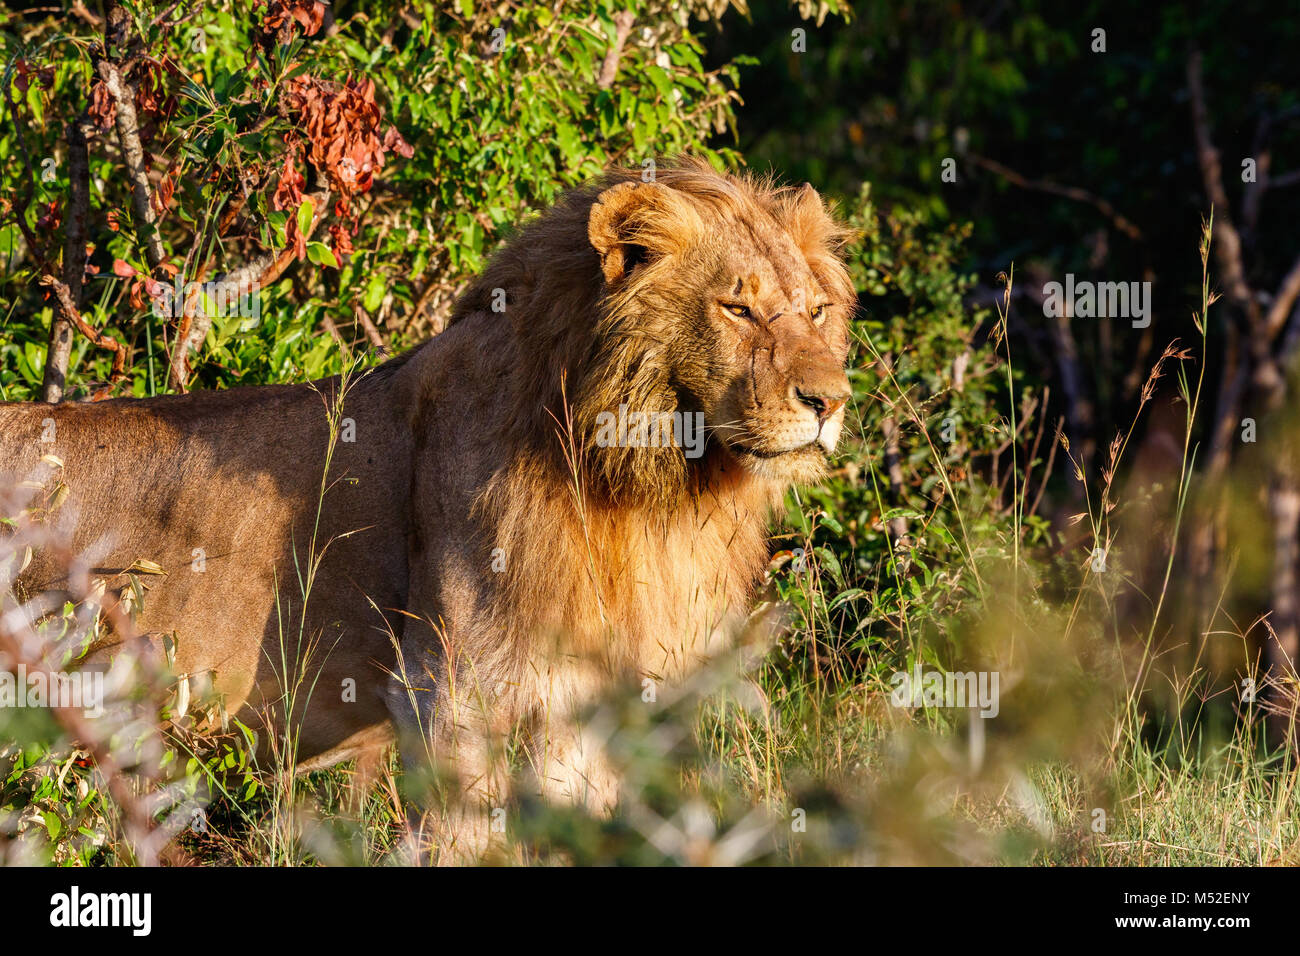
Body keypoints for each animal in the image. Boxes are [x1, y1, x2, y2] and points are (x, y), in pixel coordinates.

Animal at [0, 157, 854, 858]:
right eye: (737, 309)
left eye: (815, 311)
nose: (830, 400)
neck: (641, 482)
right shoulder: (453, 685)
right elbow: (461, 835)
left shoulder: (591, 694)